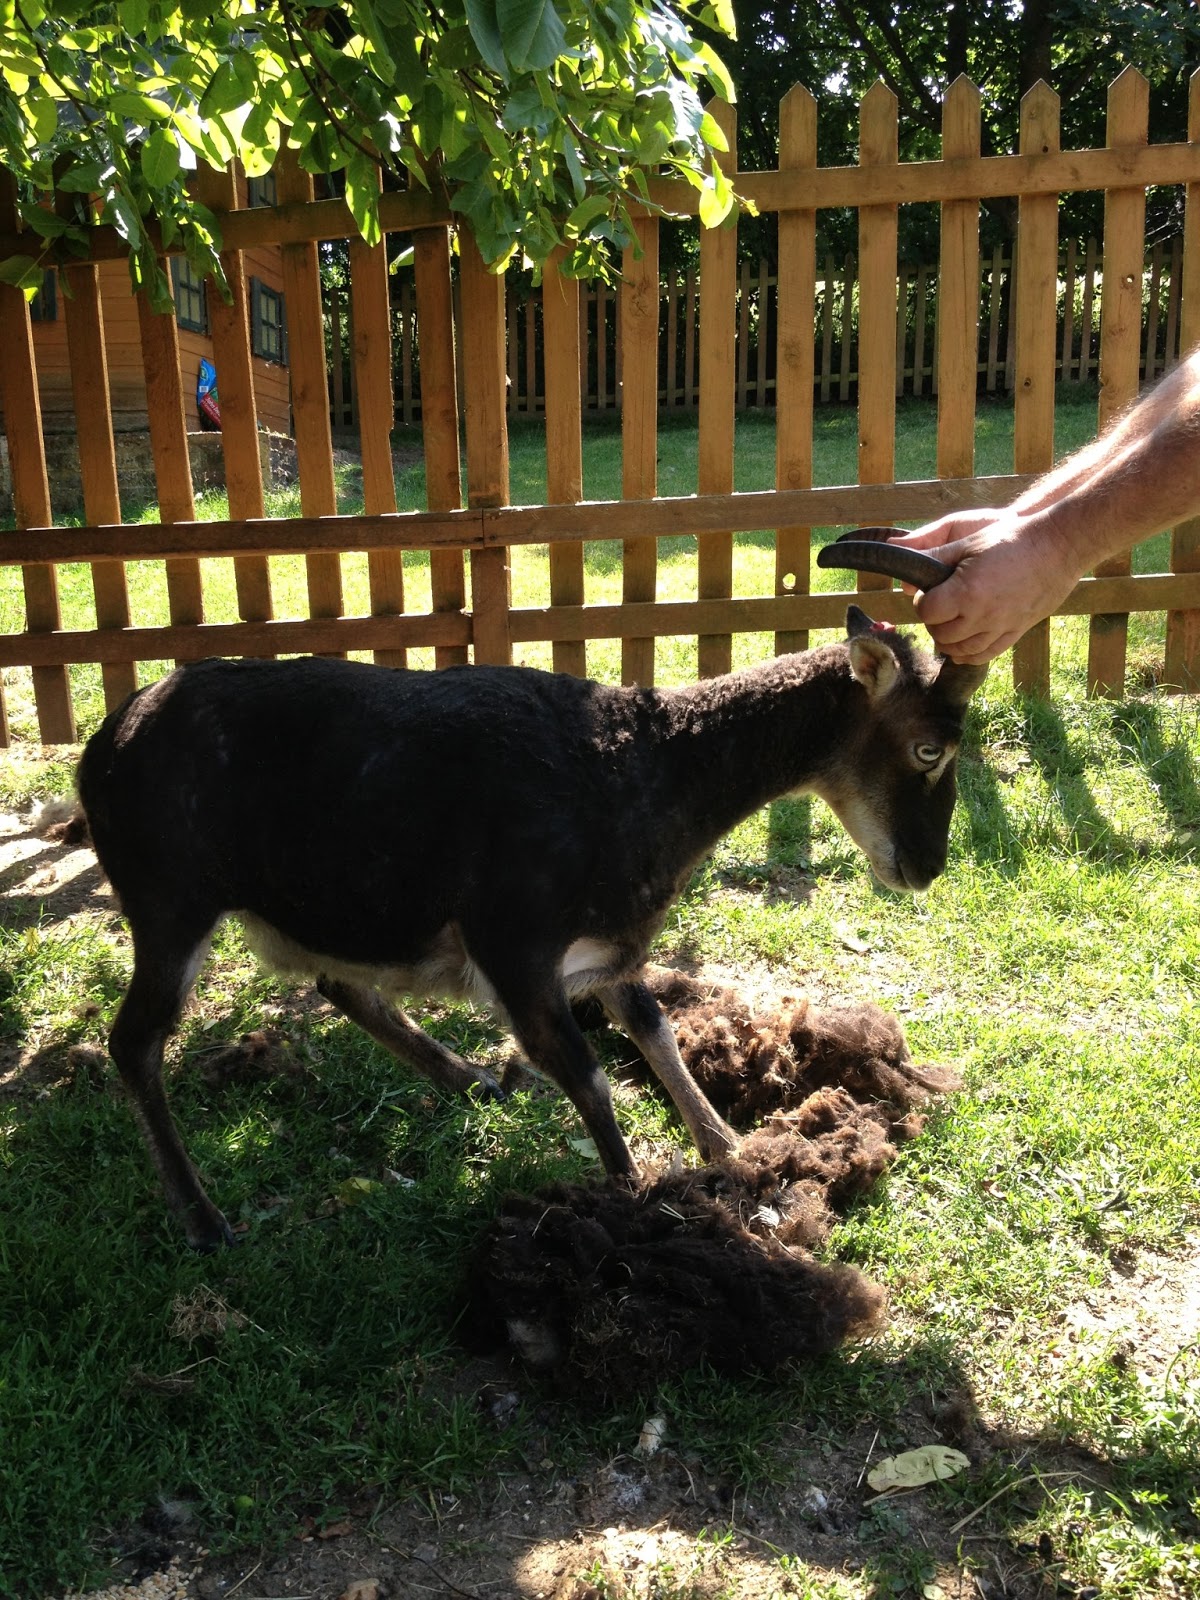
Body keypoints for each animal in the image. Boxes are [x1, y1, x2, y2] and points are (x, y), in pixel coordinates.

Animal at [74, 601, 985, 1249]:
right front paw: (638, 1194)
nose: (926, 867)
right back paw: (204, 1220)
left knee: (340, 983)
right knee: (135, 1040)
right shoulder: (513, 942)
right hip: (170, 900)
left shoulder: (606, 946)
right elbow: (586, 1072)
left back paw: (470, 1079)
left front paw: (727, 1147)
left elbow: (651, 1025)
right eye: (929, 748)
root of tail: (102, 748)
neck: (644, 765)